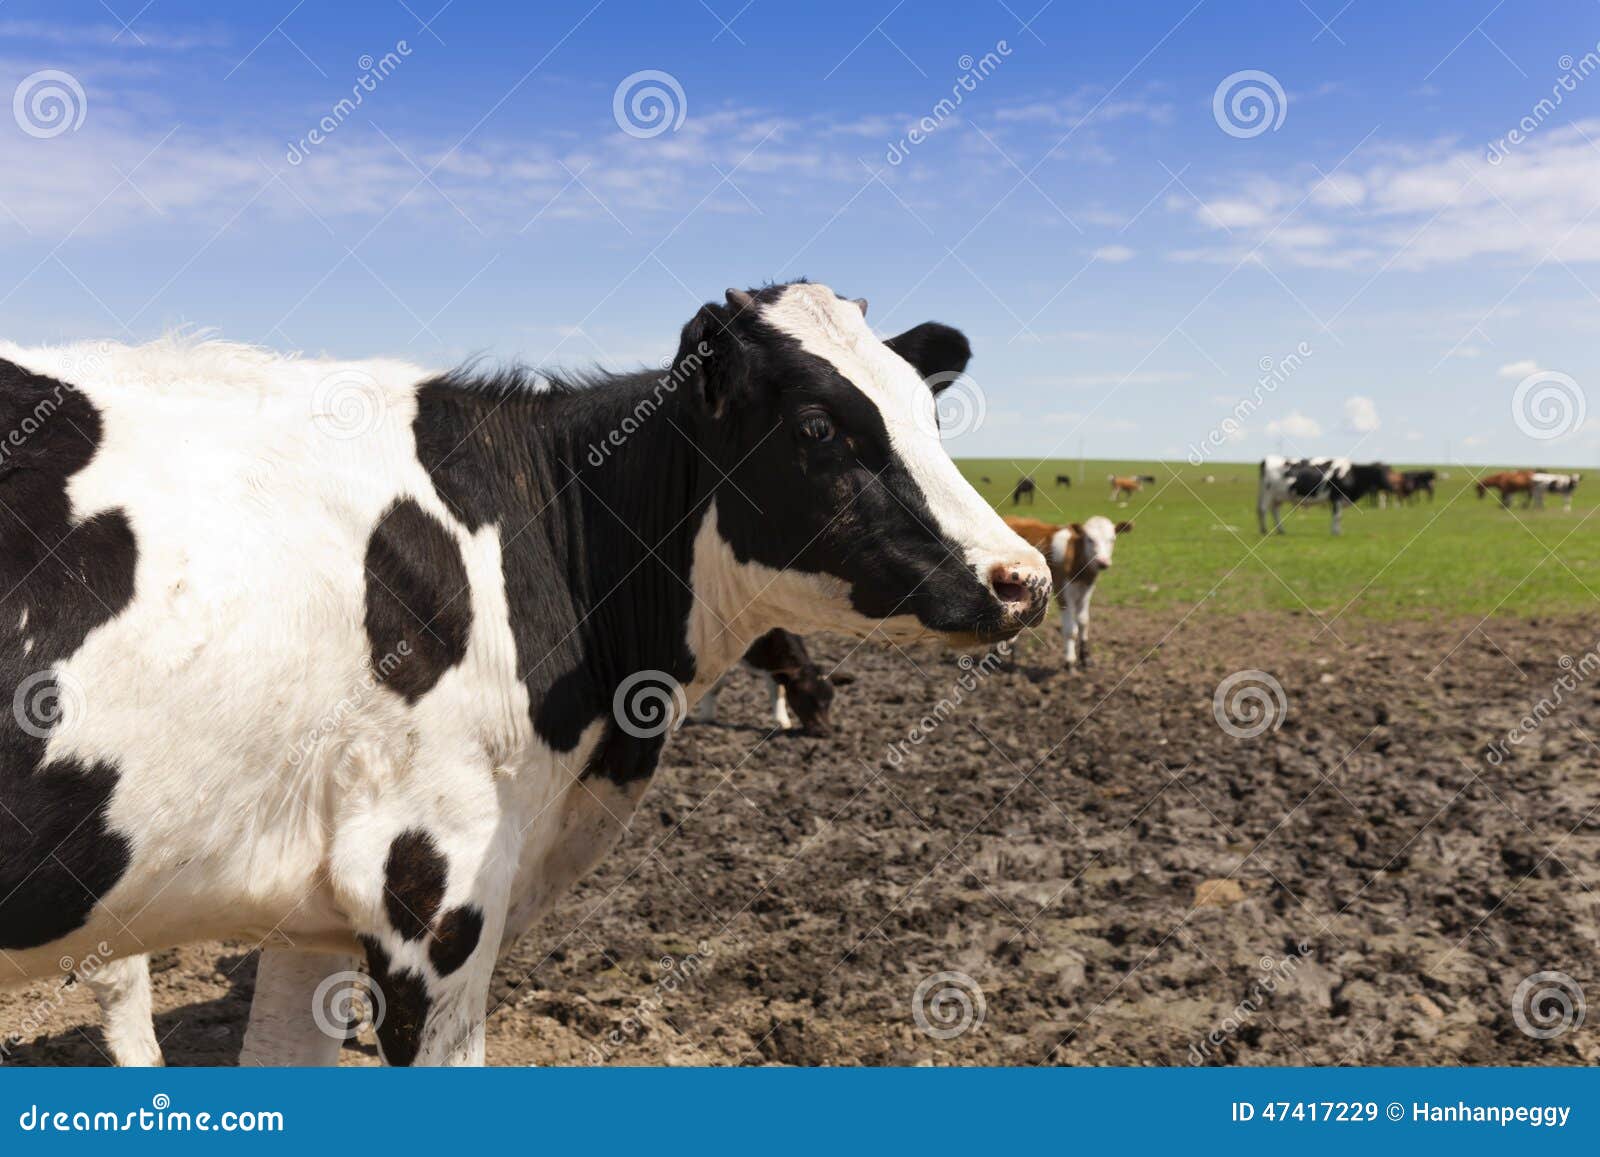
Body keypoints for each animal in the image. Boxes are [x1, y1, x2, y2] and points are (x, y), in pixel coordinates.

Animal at [690, 628, 834, 735]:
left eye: (829, 700)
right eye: (804, 696)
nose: (825, 731)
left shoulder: (773, 666)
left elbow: (778, 690)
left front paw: (782, 721)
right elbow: (714, 684)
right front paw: (706, 717)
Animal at [1004, 515, 1131, 668]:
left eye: (1112, 539)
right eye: (1090, 539)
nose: (1103, 562)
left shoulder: (1086, 591)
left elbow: (1083, 622)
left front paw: (1085, 657)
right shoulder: (1063, 592)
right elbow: (1071, 629)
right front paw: (1070, 661)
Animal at [1257, 455, 1394, 535]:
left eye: (1390, 472)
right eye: (1380, 472)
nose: (1392, 487)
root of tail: (1268, 458)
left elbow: (1337, 516)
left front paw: (1336, 531)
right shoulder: (1336, 497)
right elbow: (1337, 516)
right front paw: (1336, 532)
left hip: (1278, 496)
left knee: (1275, 510)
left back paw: (1281, 531)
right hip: (1268, 492)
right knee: (1263, 509)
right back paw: (1264, 531)